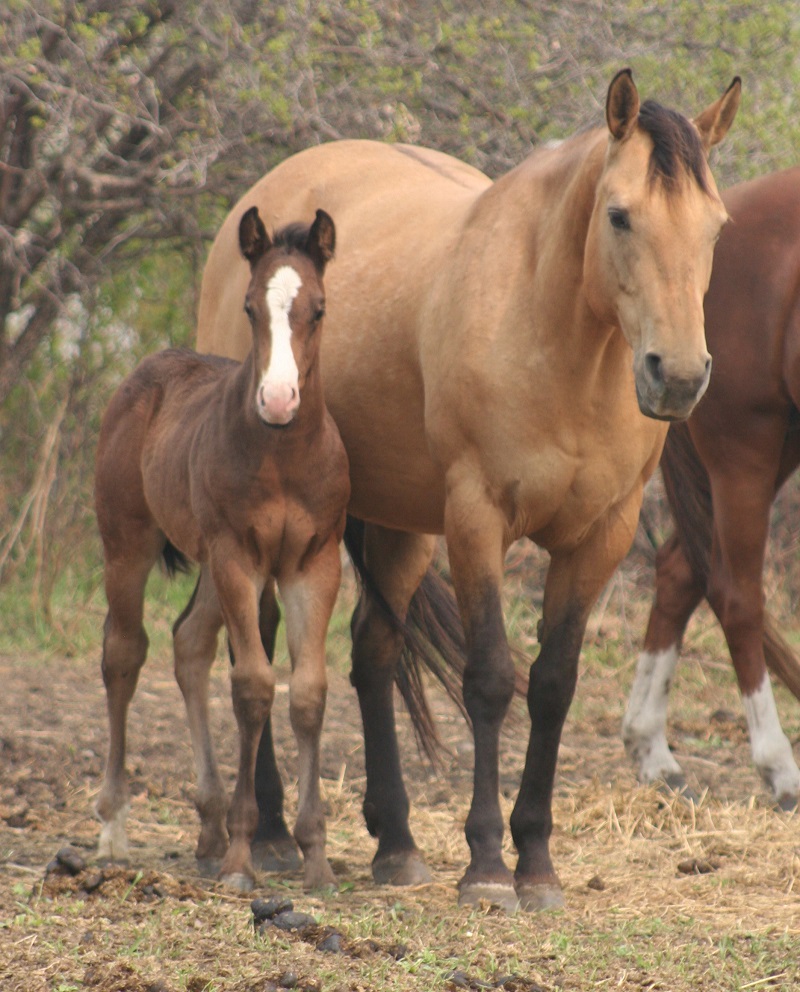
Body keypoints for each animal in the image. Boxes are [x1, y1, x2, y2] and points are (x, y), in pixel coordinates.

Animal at [94, 207, 349, 892]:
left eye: (318, 309)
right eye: (249, 307)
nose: (279, 400)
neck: (284, 456)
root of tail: (146, 371)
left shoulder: (314, 564)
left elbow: (309, 693)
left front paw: (315, 857)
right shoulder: (240, 556)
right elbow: (254, 686)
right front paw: (242, 855)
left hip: (210, 564)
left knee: (188, 644)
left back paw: (206, 829)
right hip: (128, 544)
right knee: (124, 653)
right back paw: (115, 825)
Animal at [196, 69, 740, 911]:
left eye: (715, 227)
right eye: (620, 215)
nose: (677, 376)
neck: (561, 345)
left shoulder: (601, 536)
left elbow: (552, 684)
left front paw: (537, 862)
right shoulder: (478, 519)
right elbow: (488, 679)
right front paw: (487, 864)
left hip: (402, 526)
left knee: (371, 653)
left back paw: (396, 842)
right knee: (253, 638)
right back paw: (278, 836)